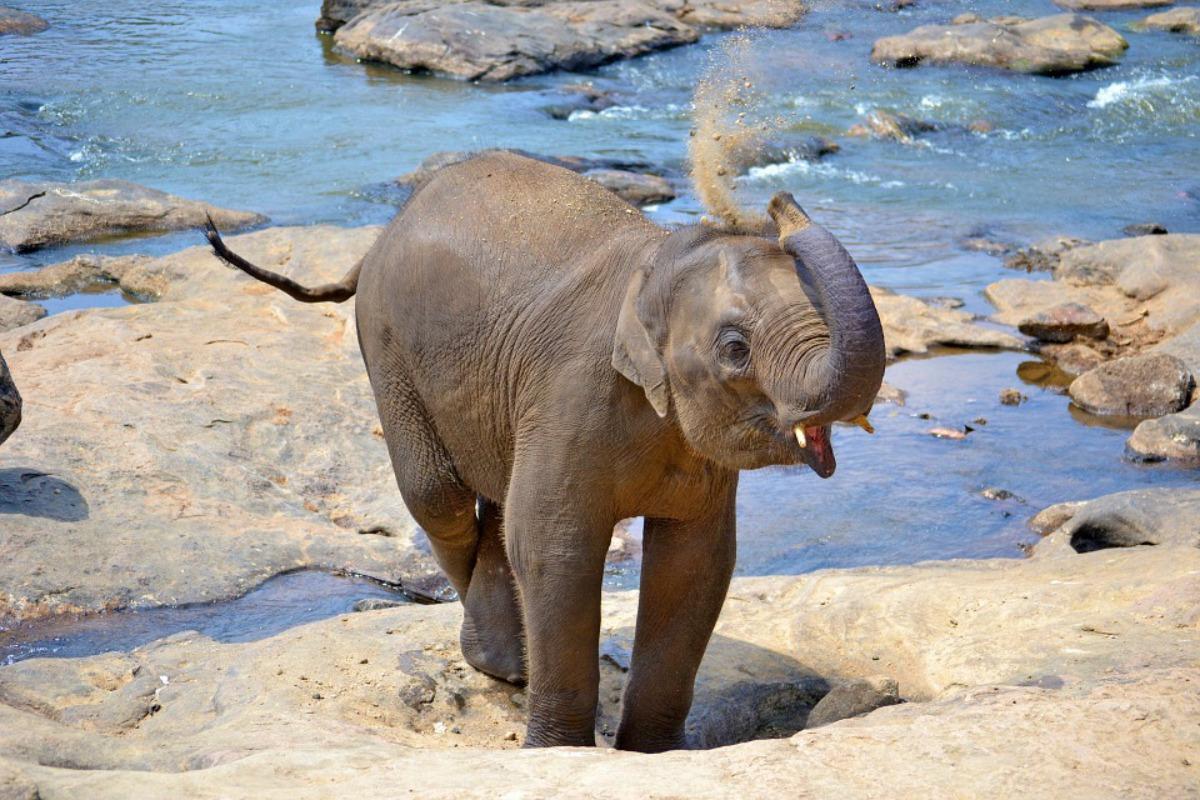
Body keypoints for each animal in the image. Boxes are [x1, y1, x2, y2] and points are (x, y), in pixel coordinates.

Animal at [205, 151, 885, 751]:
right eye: (736, 348)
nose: (779, 202)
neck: (659, 260)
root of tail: (380, 236)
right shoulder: (571, 392)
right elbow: (554, 546)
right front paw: (558, 751)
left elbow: (696, 562)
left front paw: (655, 756)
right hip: (389, 350)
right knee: (439, 498)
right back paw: (500, 664)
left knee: (495, 502)